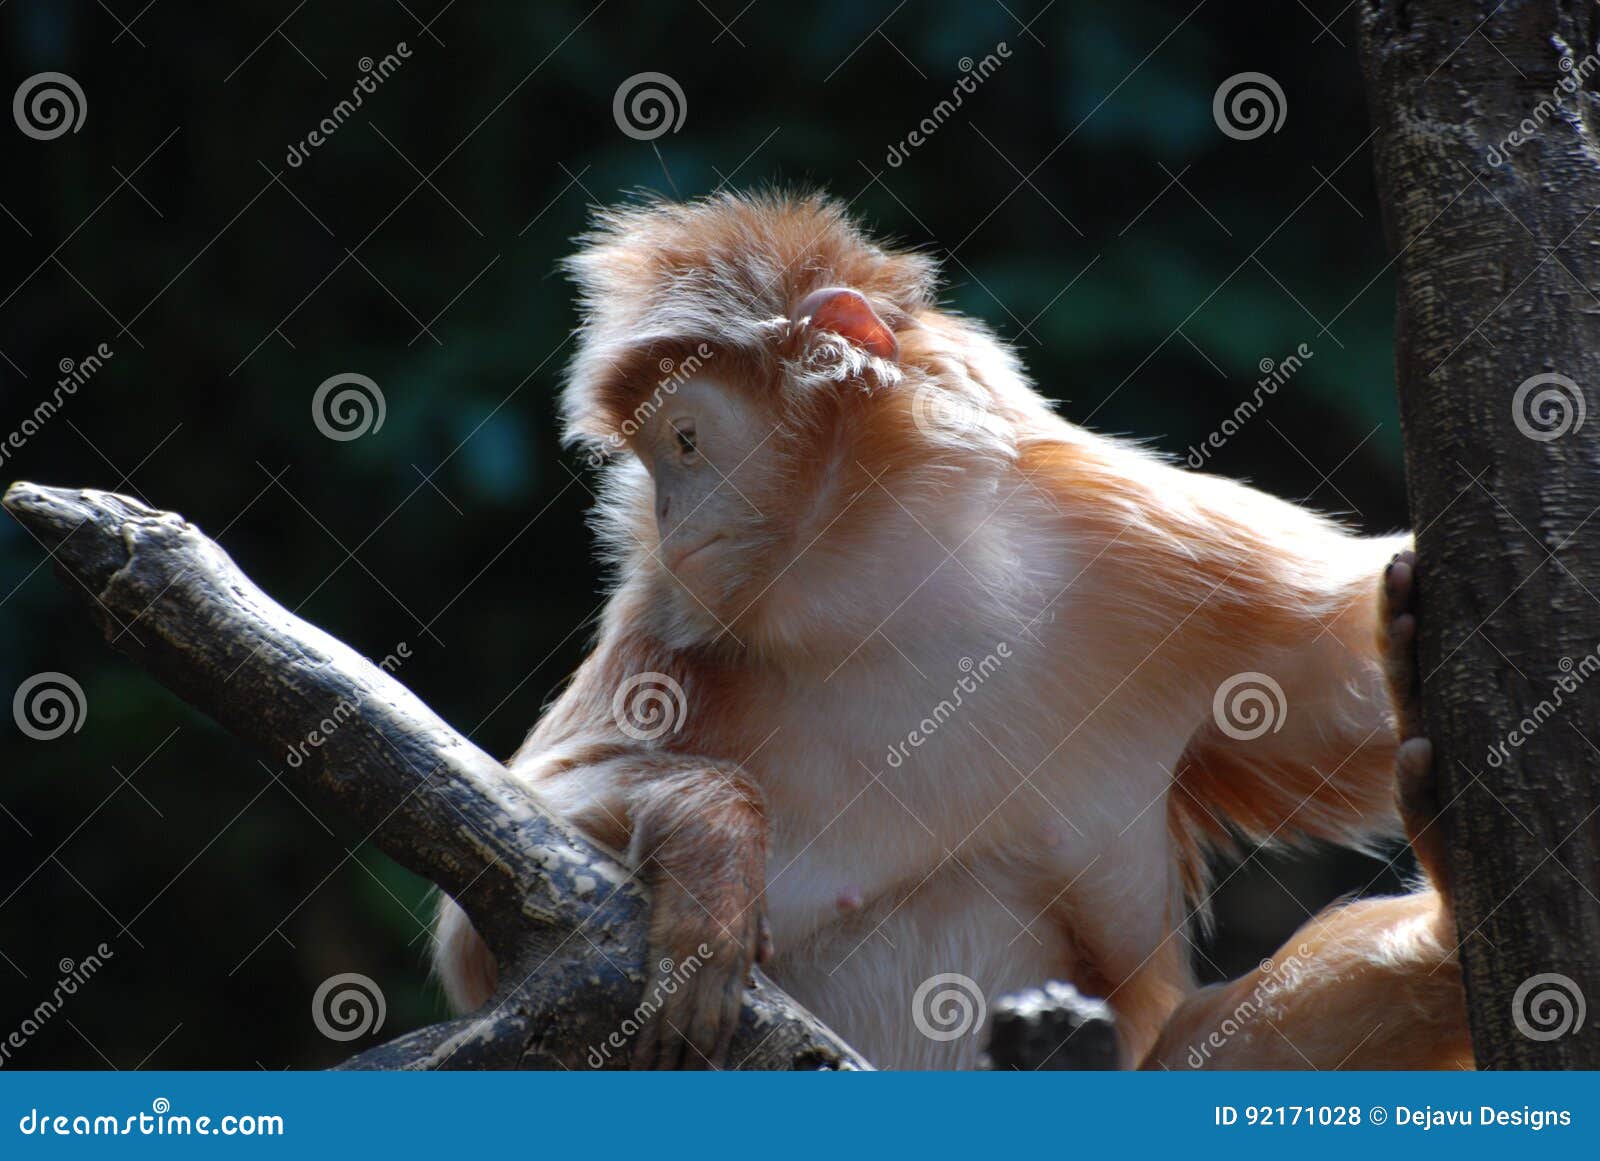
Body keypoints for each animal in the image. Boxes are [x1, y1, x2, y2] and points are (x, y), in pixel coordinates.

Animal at [432, 190, 1467, 1069]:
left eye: (683, 442)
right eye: (651, 463)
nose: (668, 519)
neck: (895, 595)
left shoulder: (1159, 540)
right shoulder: (664, 616)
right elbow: (492, 921)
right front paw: (712, 844)